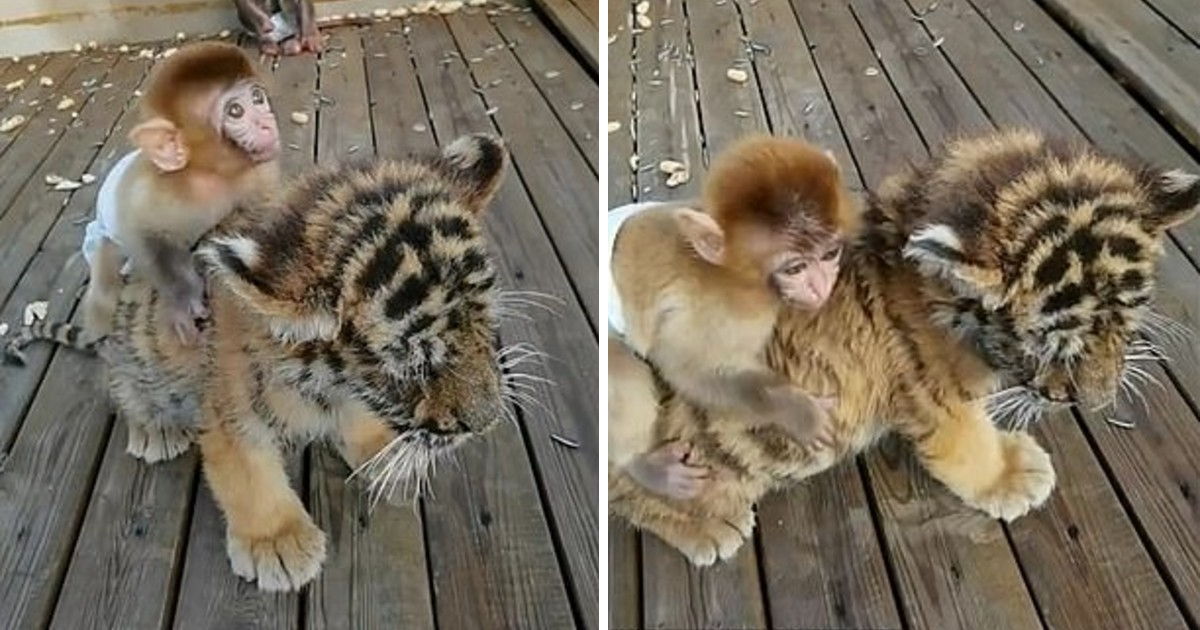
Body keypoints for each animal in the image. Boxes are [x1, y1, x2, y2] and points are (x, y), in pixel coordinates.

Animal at [5, 133, 525, 591]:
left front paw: (386, 452)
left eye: (485, 322)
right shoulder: (229, 414)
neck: (332, 385)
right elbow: (247, 475)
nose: (486, 423)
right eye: (409, 363)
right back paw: (156, 430)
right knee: (122, 387)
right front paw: (278, 544)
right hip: (133, 358)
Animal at [80, 41, 282, 345]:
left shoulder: (259, 174)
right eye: (235, 111)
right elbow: (146, 235)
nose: (268, 122)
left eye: (257, 97)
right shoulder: (154, 194)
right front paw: (186, 298)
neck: (211, 174)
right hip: (101, 235)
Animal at [607, 134, 858, 500]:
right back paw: (641, 464)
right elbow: (691, 370)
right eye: (796, 268)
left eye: (829, 254)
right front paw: (797, 410)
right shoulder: (728, 312)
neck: (732, 275)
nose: (821, 285)